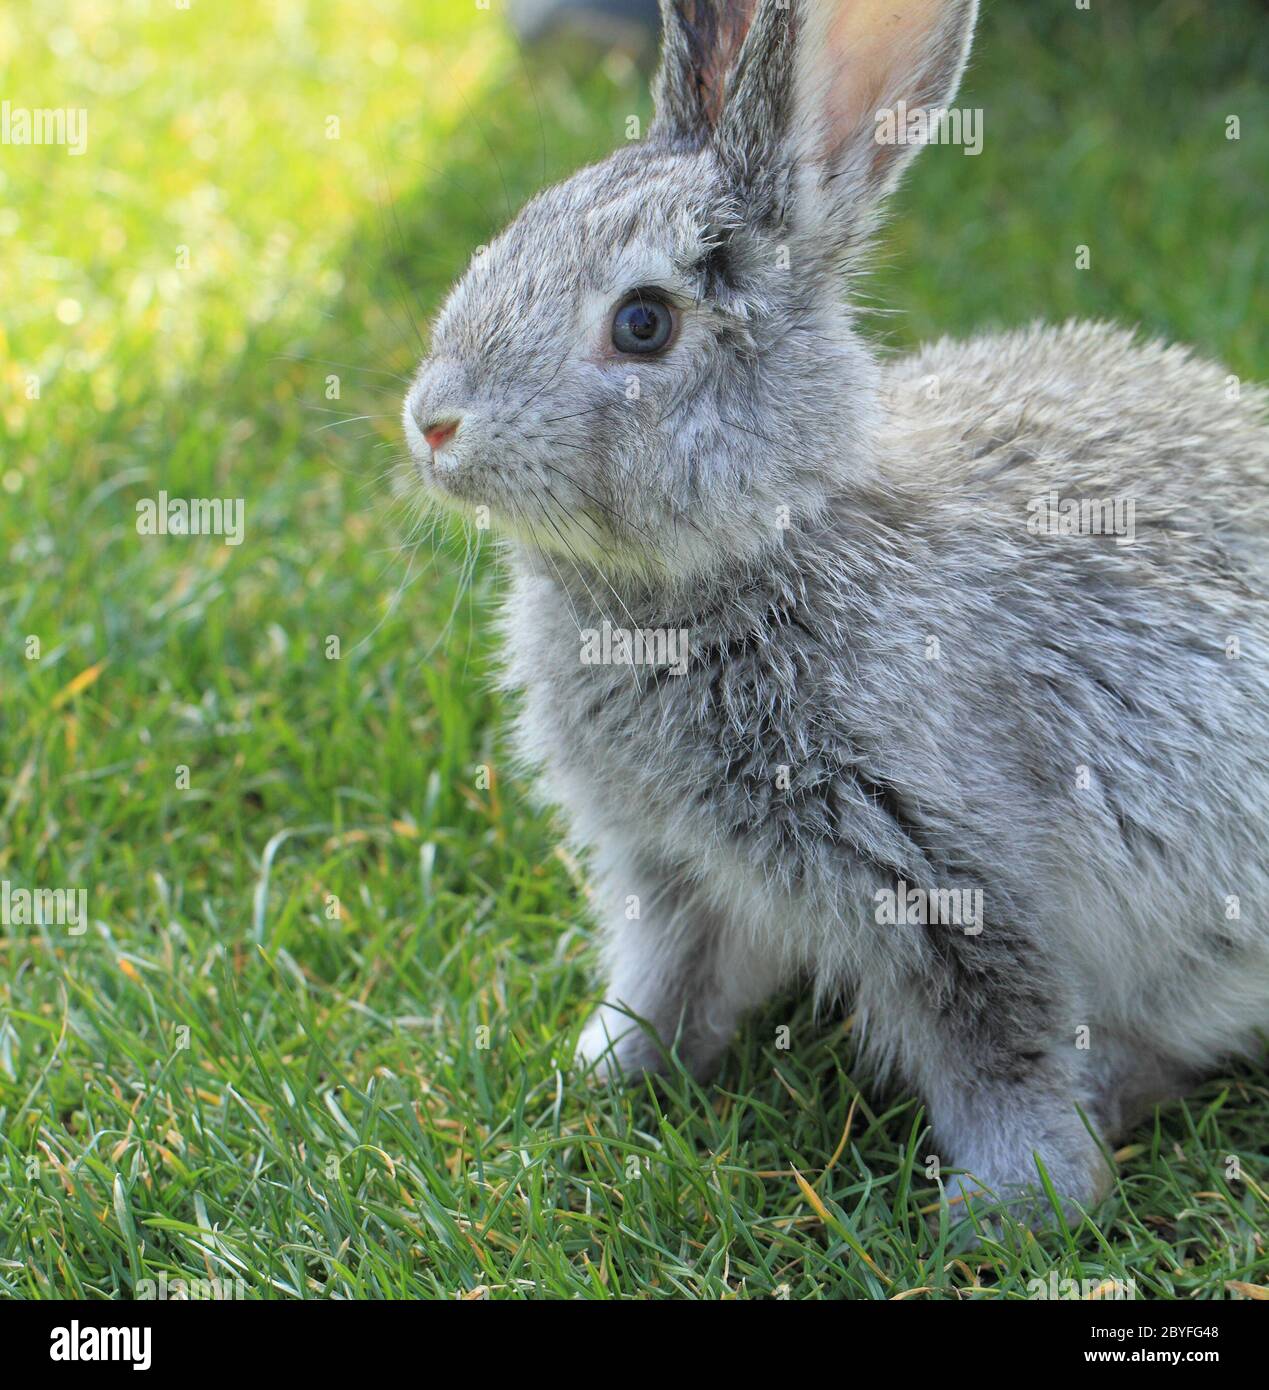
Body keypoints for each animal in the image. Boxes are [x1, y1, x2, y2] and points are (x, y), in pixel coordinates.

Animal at [402, 0, 1269, 1222]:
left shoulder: (939, 866)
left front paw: (1017, 1204)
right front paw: (601, 1076)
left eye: (642, 325)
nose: (432, 422)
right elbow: (661, 978)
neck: (762, 539)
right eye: (506, 241)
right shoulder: (663, 864)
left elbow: (997, 1034)